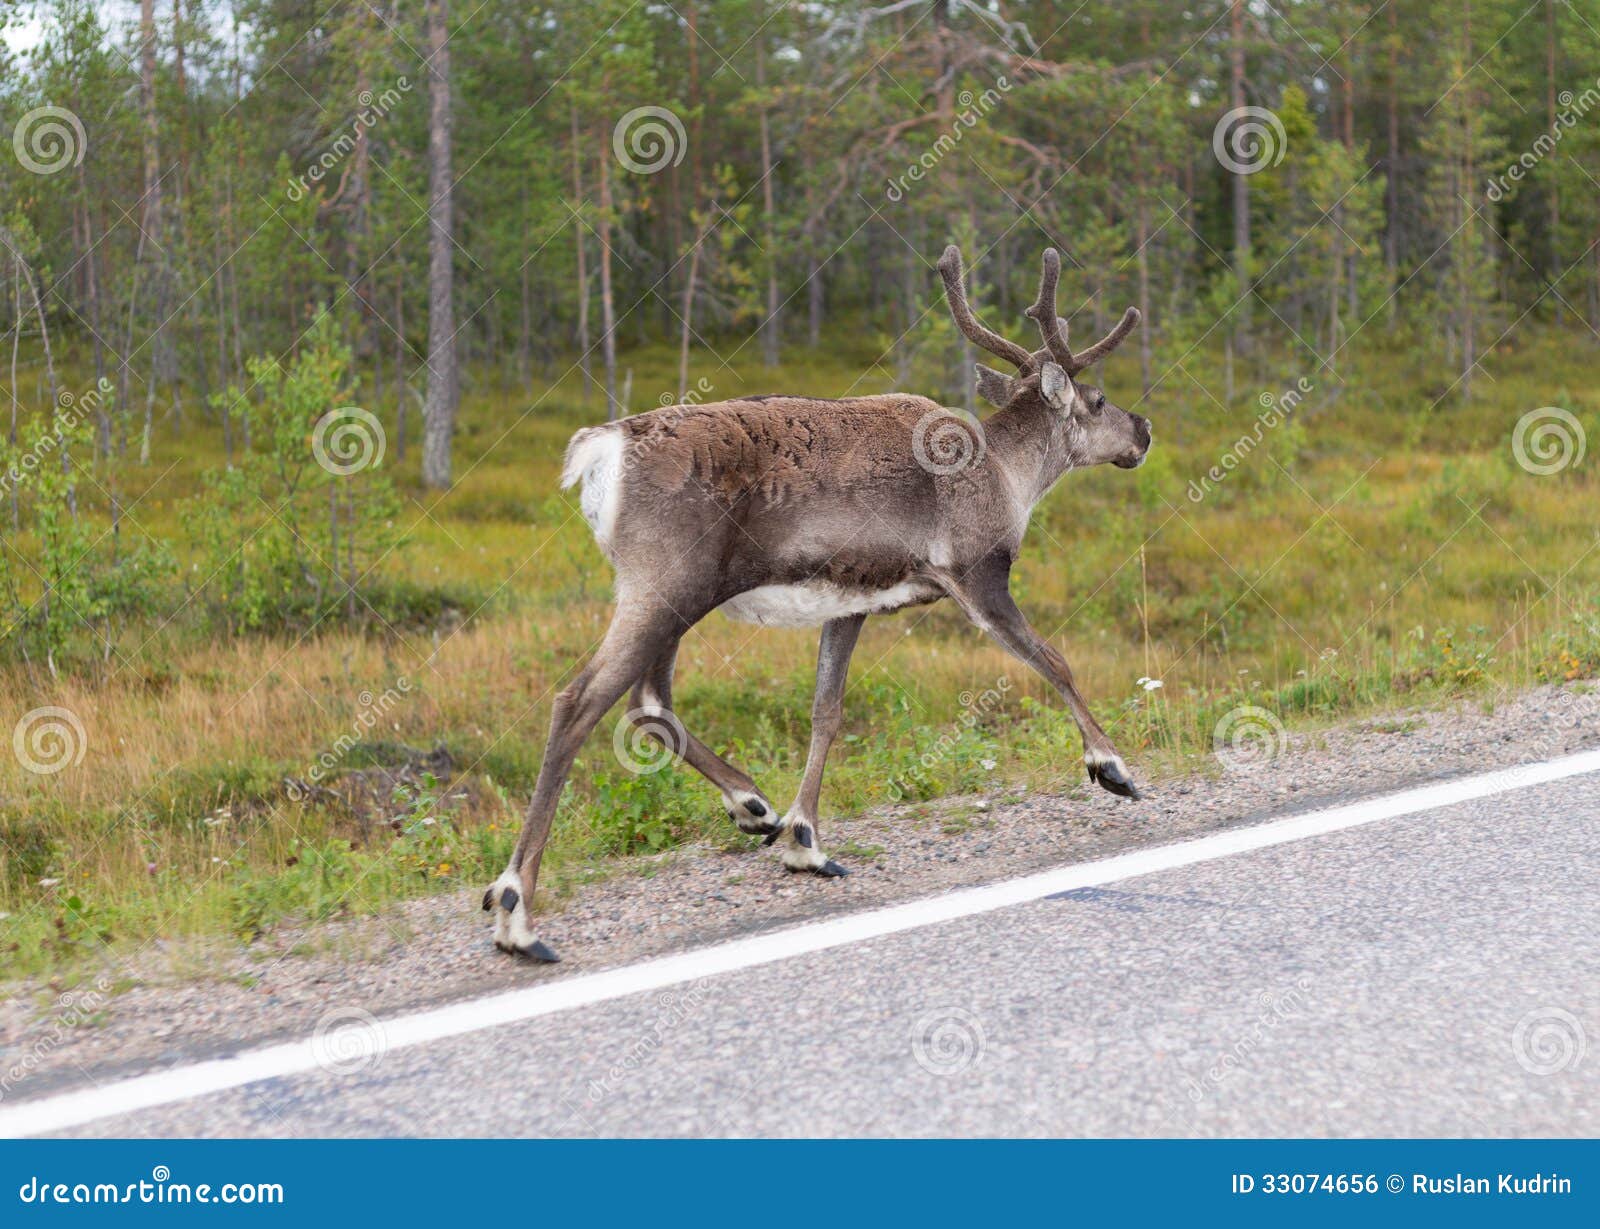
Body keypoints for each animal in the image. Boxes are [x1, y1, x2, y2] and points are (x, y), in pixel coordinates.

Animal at [485, 243, 1151, 961]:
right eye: (1099, 398)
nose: (1144, 428)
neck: (1008, 475)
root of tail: (601, 450)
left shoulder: (850, 602)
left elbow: (825, 711)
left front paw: (804, 839)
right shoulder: (977, 577)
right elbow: (1054, 662)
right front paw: (1111, 765)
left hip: (669, 595)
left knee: (648, 702)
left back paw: (753, 806)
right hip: (666, 587)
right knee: (578, 703)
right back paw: (516, 912)